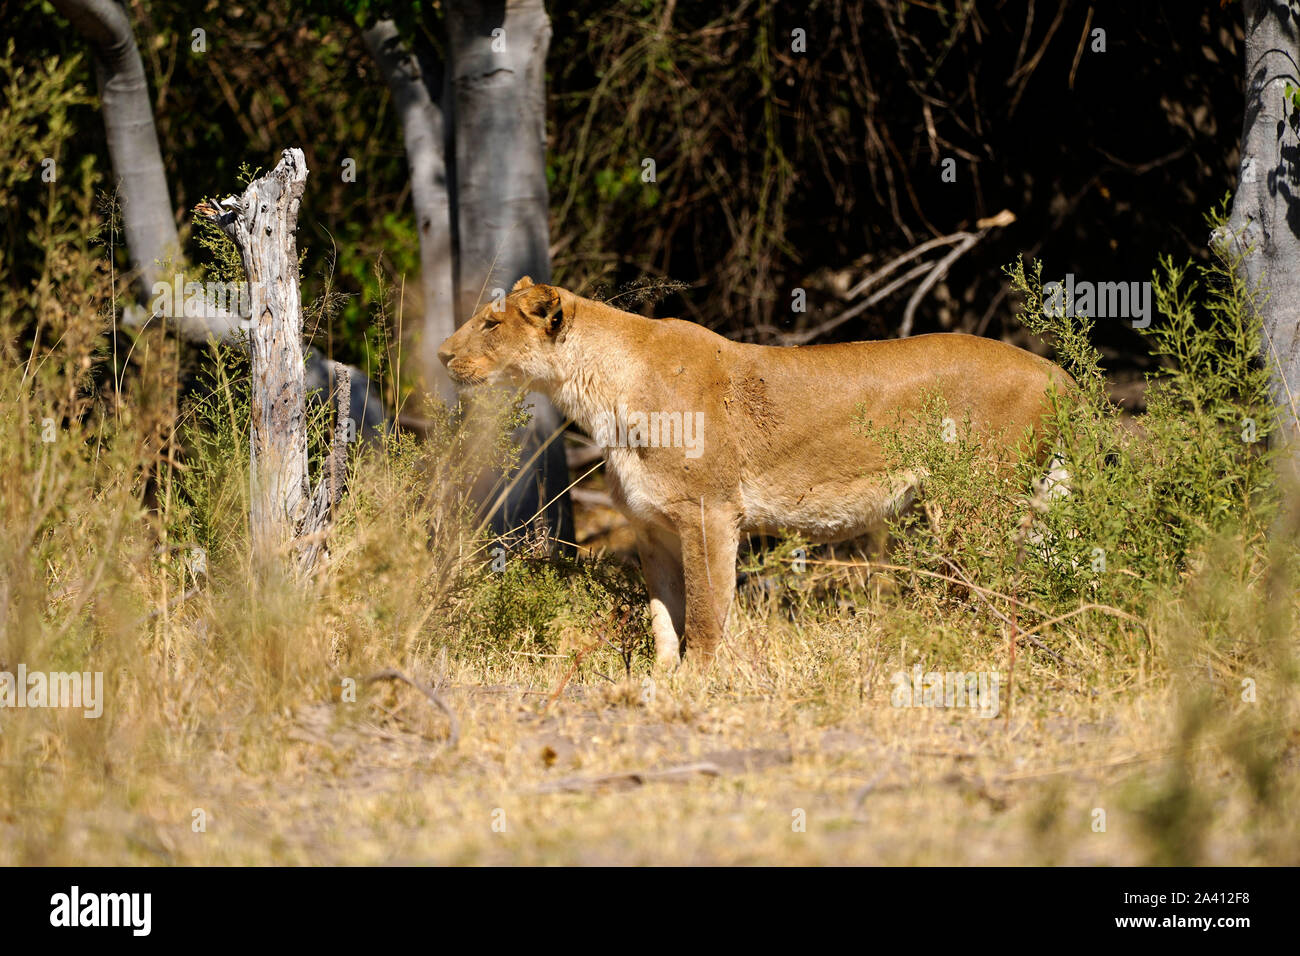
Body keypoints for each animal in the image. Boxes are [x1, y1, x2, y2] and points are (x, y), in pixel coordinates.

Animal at [439, 277, 1074, 669]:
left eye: (491, 324)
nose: (442, 355)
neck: (597, 392)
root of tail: (1059, 372)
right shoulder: (651, 527)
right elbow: (662, 614)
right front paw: (659, 682)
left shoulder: (710, 513)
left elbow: (704, 611)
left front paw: (699, 682)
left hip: (977, 505)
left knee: (1002, 585)